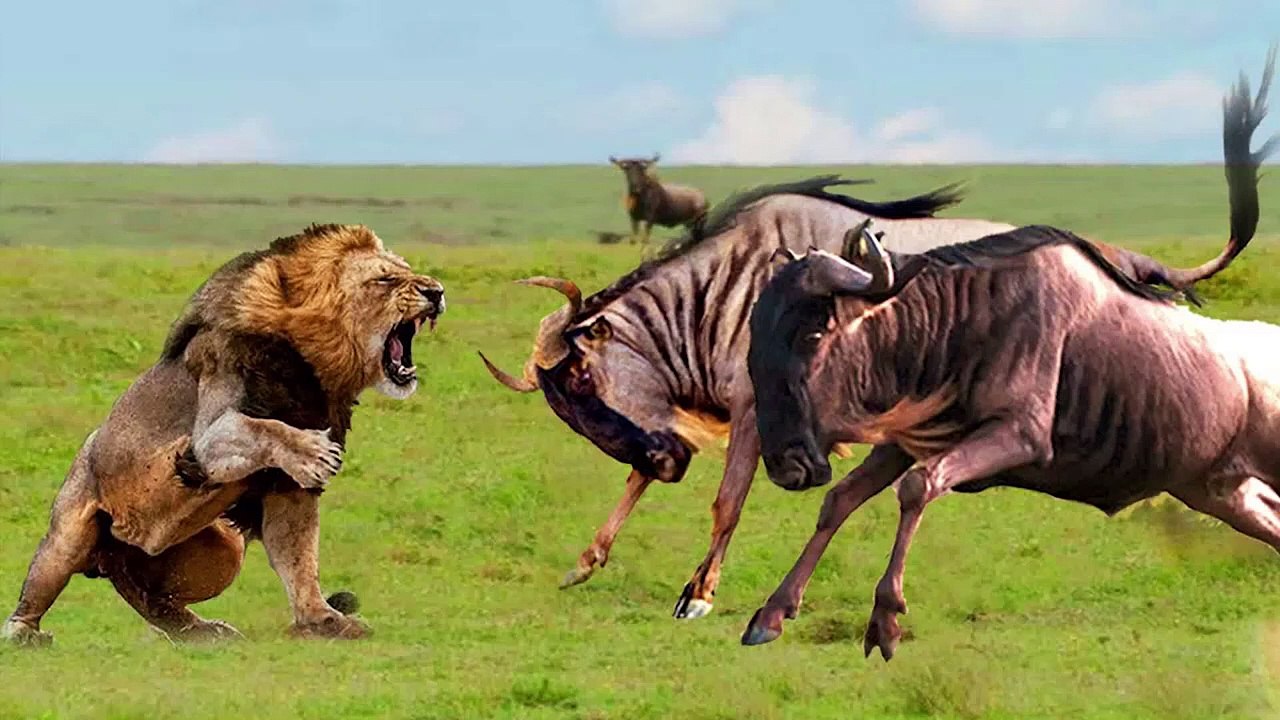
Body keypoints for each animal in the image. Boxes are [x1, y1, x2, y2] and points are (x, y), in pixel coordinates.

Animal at [1, 223, 445, 646]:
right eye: (385, 279)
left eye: (408, 271)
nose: (437, 291)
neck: (317, 368)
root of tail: (114, 556)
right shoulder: (208, 435)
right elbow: (261, 428)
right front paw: (313, 452)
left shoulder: (285, 488)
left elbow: (299, 559)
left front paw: (323, 621)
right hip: (69, 529)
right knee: (46, 579)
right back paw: (24, 634)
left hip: (223, 548)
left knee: (153, 598)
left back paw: (200, 630)